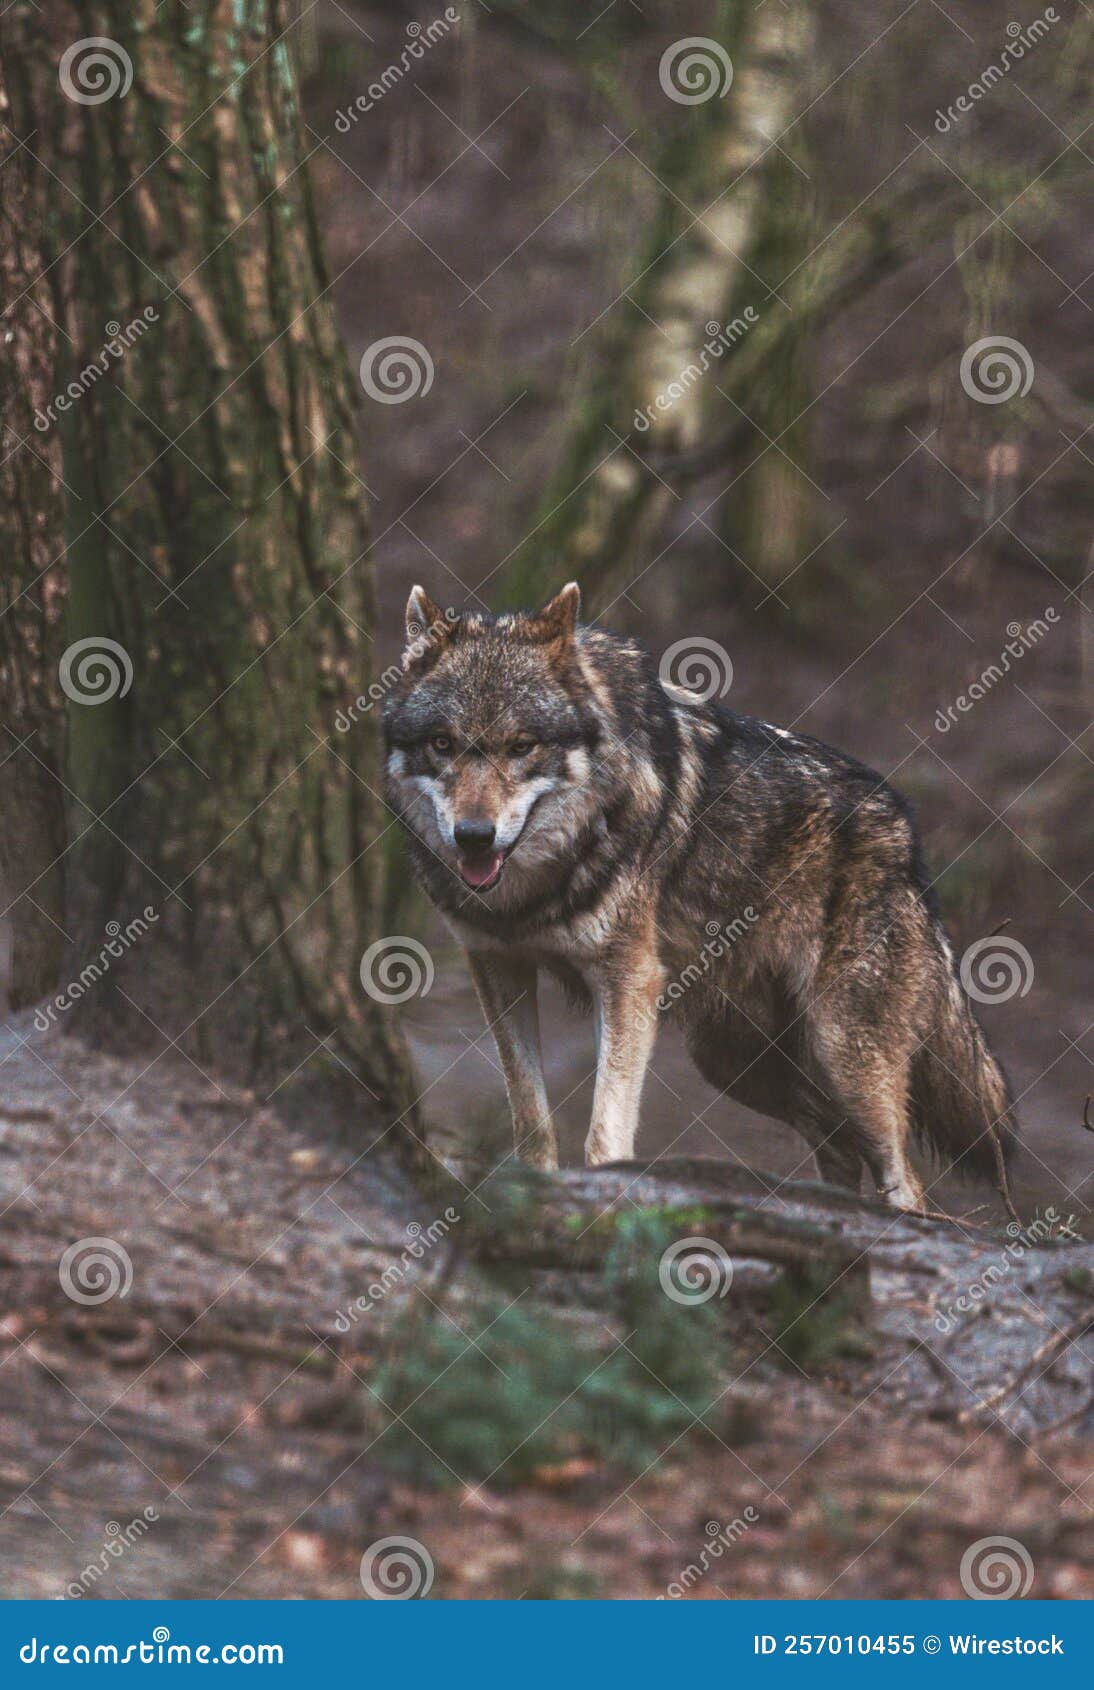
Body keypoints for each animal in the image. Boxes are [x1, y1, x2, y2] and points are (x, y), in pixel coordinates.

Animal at [382, 583, 1018, 1213]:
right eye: (442, 744)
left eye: (521, 747)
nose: (473, 836)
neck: (533, 893)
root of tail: (907, 832)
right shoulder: (499, 968)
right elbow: (531, 1123)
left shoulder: (627, 981)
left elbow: (605, 1135)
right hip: (732, 1060)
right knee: (839, 1147)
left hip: (844, 1054)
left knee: (906, 1182)